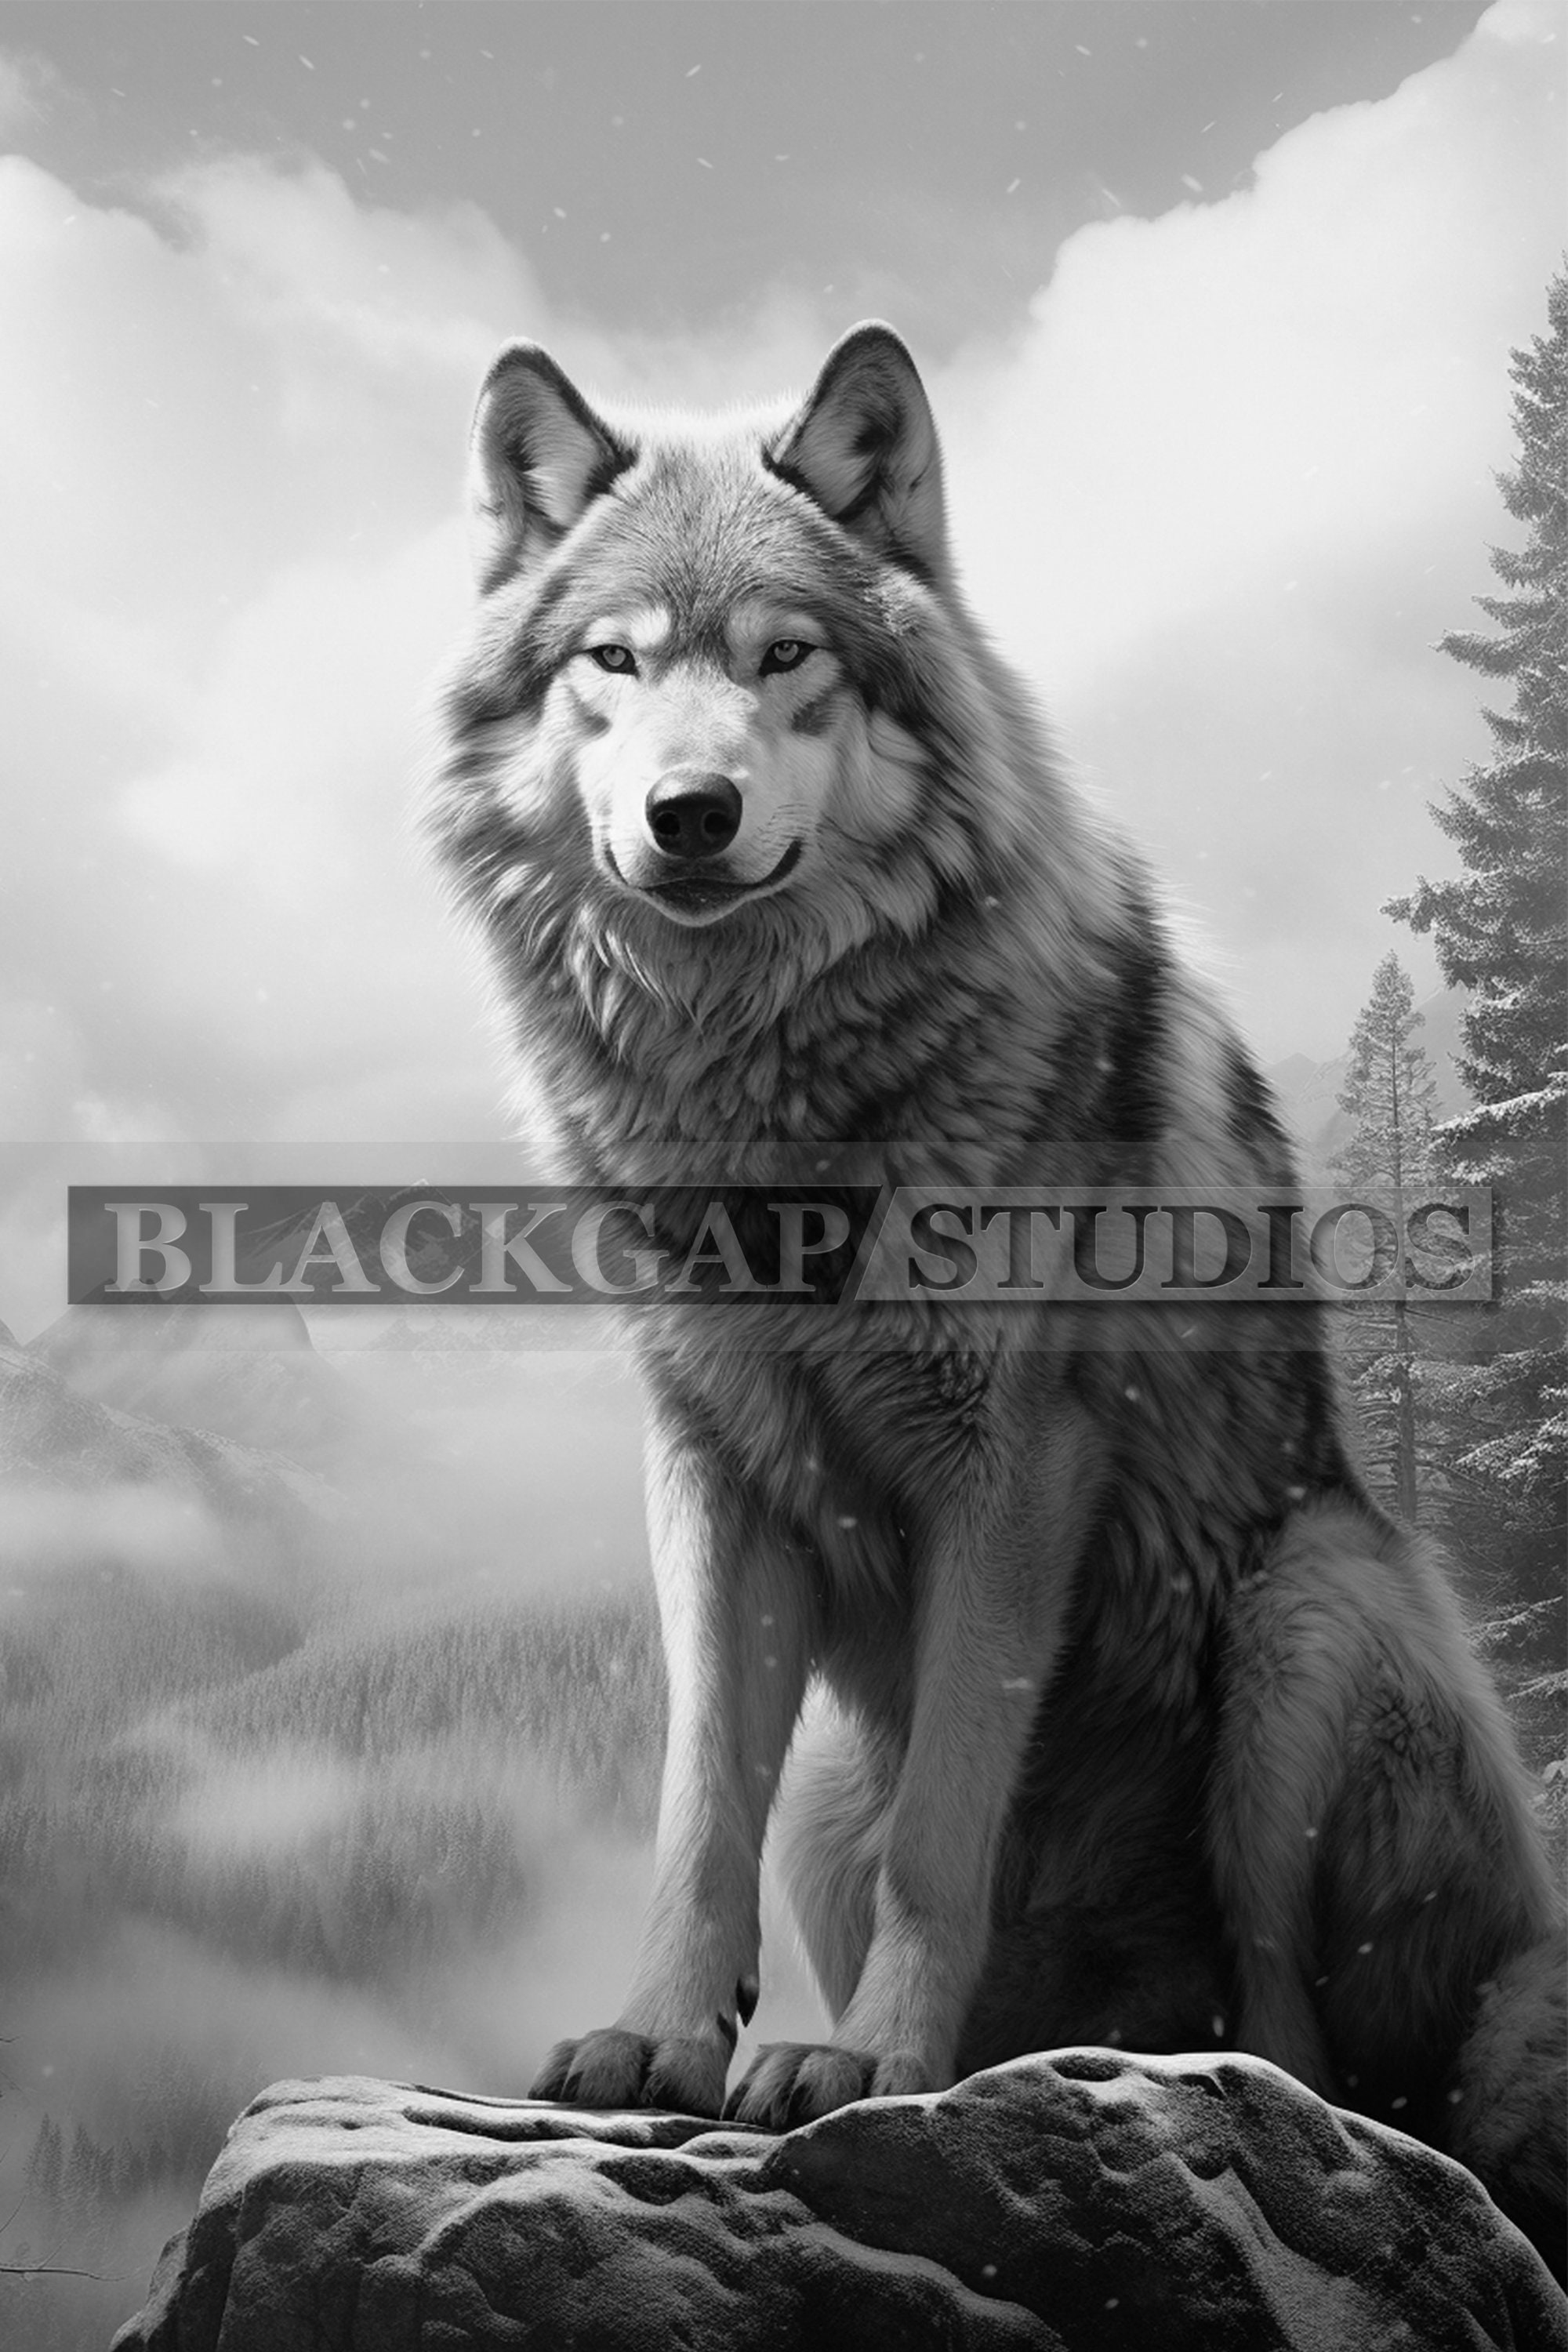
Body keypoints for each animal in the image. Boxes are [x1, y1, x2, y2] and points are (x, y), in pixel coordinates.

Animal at [427, 323, 1565, 2273]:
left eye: (784, 658)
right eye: (614, 664)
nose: (688, 816)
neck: (765, 1098)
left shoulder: (1014, 1466)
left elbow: (948, 1816)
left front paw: (863, 2063)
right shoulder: (708, 1476)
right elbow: (693, 1807)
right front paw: (662, 2040)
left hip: (1303, 1618)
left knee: (1309, 2042)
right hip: (842, 1777)